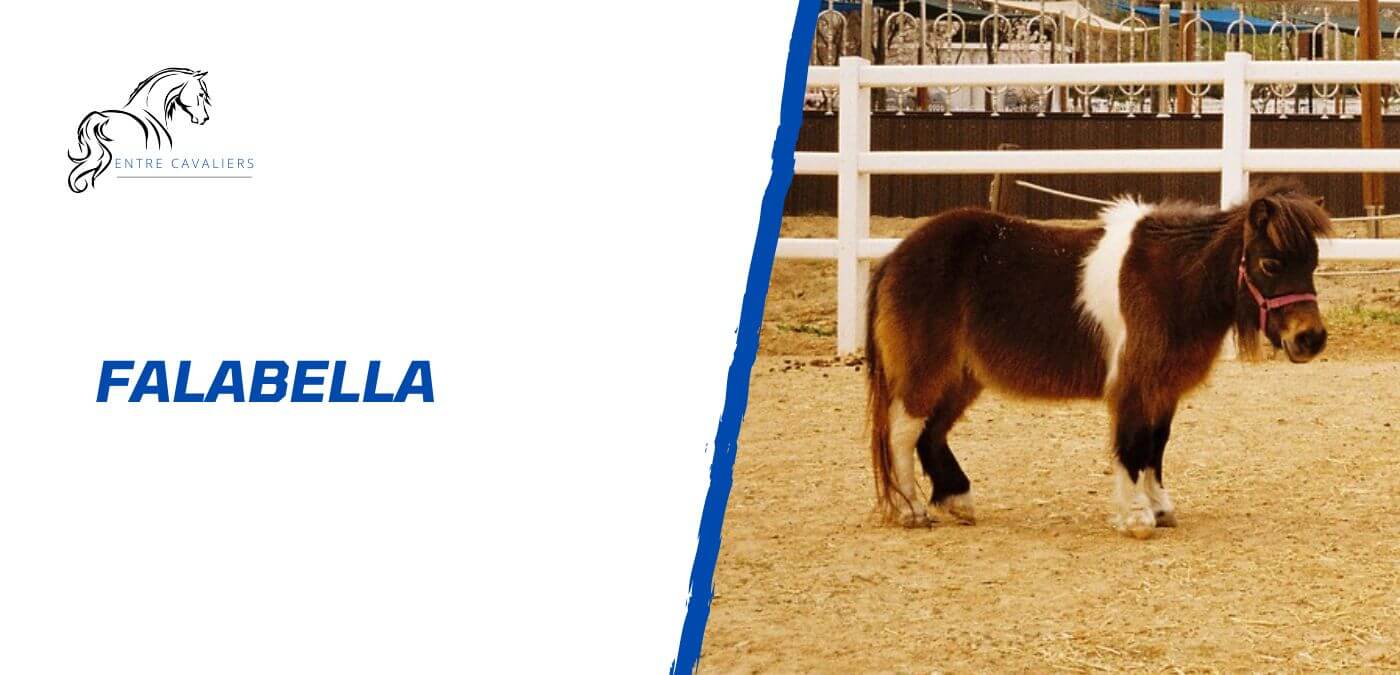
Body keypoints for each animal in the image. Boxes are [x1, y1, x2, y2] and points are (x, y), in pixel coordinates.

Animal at [865, 180, 1331, 539]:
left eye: (1312, 262)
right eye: (1270, 263)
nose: (1310, 338)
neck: (1171, 281)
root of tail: (896, 256)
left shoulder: (1164, 387)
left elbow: (1157, 445)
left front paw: (1160, 508)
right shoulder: (1134, 384)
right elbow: (1133, 444)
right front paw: (1137, 517)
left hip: (962, 376)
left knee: (932, 432)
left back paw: (957, 501)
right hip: (928, 369)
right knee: (904, 430)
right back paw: (911, 511)